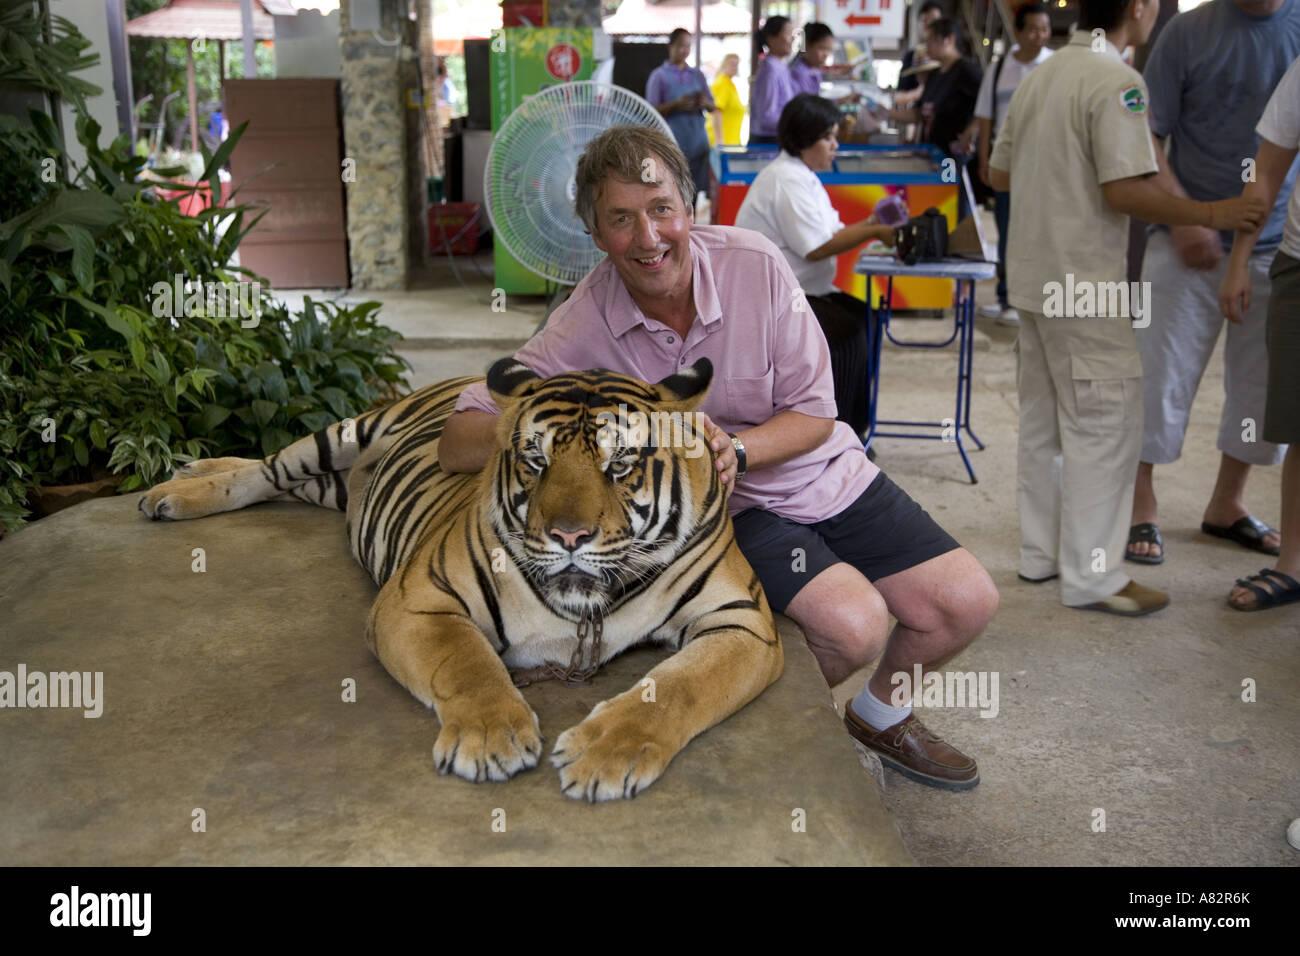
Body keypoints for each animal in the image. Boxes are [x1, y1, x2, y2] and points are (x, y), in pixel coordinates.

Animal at [138, 357, 783, 802]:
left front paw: (606, 754)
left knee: (275, 478)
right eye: (536, 461)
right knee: (264, 470)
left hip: (333, 486)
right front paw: (492, 737)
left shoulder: (743, 623)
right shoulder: (418, 596)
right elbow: (467, 662)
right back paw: (173, 491)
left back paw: (191, 469)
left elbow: (680, 685)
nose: (569, 536)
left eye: (619, 463)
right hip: (344, 432)